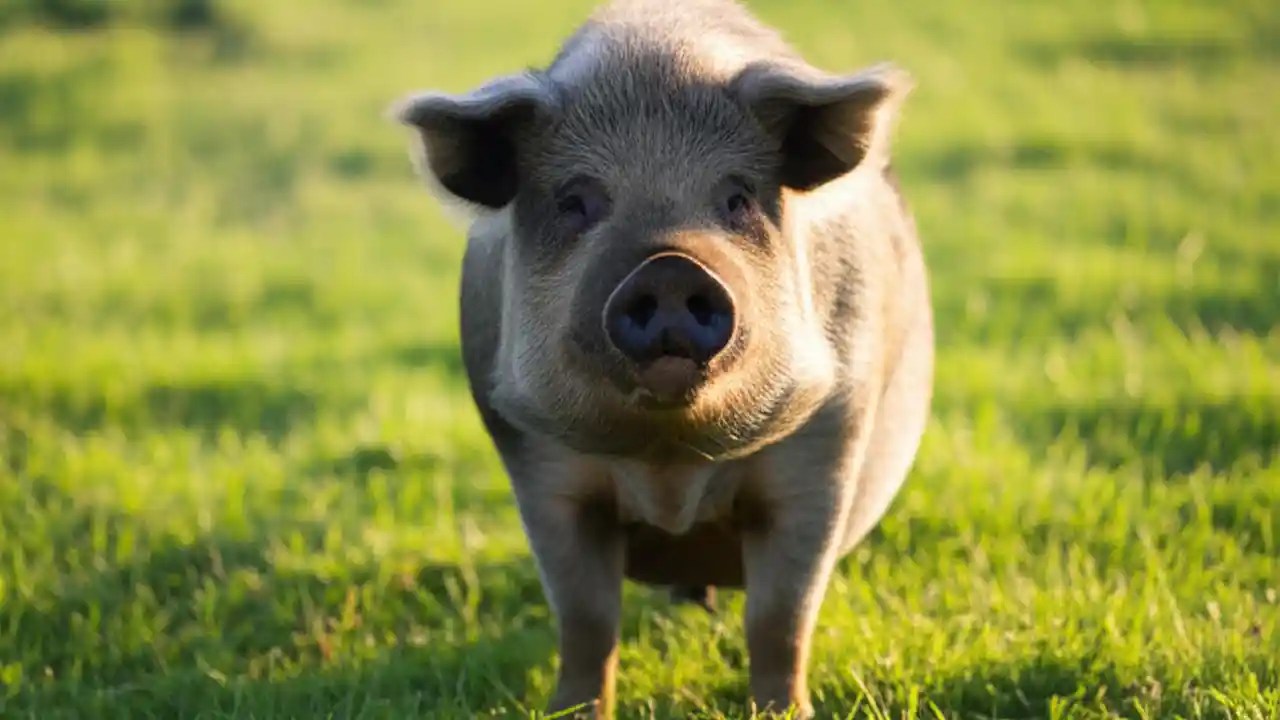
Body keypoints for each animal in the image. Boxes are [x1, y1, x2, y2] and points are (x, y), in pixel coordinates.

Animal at [391, 0, 933, 716]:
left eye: (736, 198)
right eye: (575, 201)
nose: (671, 267)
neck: (669, 468)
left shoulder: (822, 449)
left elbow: (781, 619)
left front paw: (784, 710)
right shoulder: (541, 466)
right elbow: (586, 619)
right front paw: (573, 709)